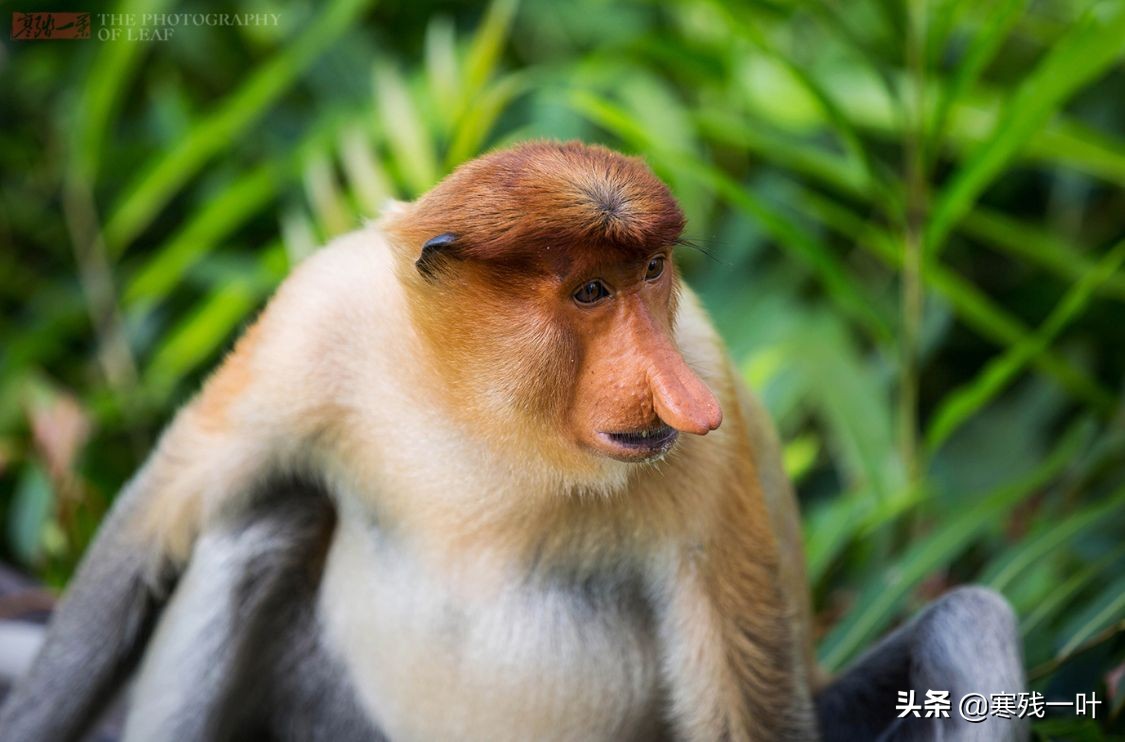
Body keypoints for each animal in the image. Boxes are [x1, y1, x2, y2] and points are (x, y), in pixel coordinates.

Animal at [0, 140, 1026, 741]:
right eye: (589, 291)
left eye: (651, 272)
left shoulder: (709, 422)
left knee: (969, 624)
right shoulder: (318, 318)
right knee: (261, 517)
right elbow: (155, 517)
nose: (682, 402)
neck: (484, 412)